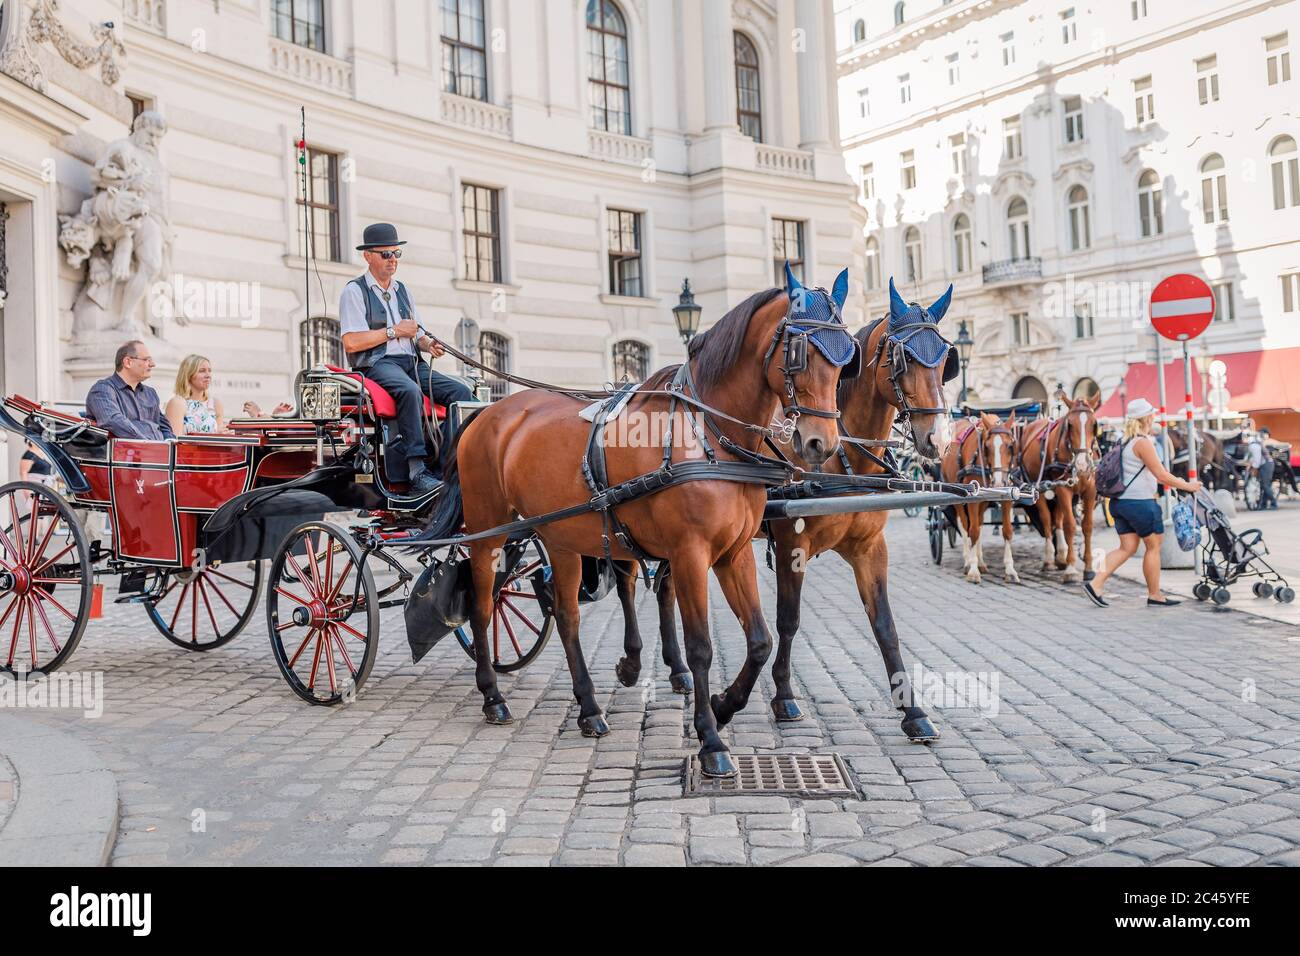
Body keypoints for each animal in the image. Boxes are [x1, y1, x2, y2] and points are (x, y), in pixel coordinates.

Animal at [421, 265, 859, 777]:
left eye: (846, 357)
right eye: (797, 351)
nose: (820, 444)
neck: (707, 434)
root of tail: (489, 410)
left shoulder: (733, 554)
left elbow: (759, 640)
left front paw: (724, 705)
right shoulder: (690, 555)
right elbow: (701, 645)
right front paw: (710, 739)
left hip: (560, 536)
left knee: (566, 617)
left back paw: (589, 708)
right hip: (488, 531)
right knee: (482, 605)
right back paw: (493, 695)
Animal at [616, 277, 955, 741]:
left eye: (945, 361)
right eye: (903, 359)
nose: (938, 438)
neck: (842, 460)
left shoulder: (870, 548)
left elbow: (884, 626)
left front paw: (913, 711)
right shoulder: (792, 544)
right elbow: (787, 621)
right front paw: (783, 696)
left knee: (666, 588)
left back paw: (678, 670)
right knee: (628, 582)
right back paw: (636, 663)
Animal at [941, 412, 1019, 585]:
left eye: (1010, 446)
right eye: (987, 447)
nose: (998, 483)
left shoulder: (1007, 497)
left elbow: (1007, 531)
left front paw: (1010, 570)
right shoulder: (973, 500)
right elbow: (973, 531)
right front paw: (973, 570)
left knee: (979, 523)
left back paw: (981, 561)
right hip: (959, 498)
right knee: (965, 527)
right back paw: (968, 561)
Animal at [1016, 393, 1101, 582]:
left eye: (1094, 424)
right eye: (1070, 424)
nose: (1083, 466)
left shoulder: (1090, 490)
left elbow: (1087, 525)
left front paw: (1089, 568)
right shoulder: (1064, 490)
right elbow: (1070, 525)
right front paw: (1071, 570)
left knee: (1057, 520)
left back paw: (1061, 556)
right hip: (1039, 489)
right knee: (1048, 521)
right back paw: (1049, 559)